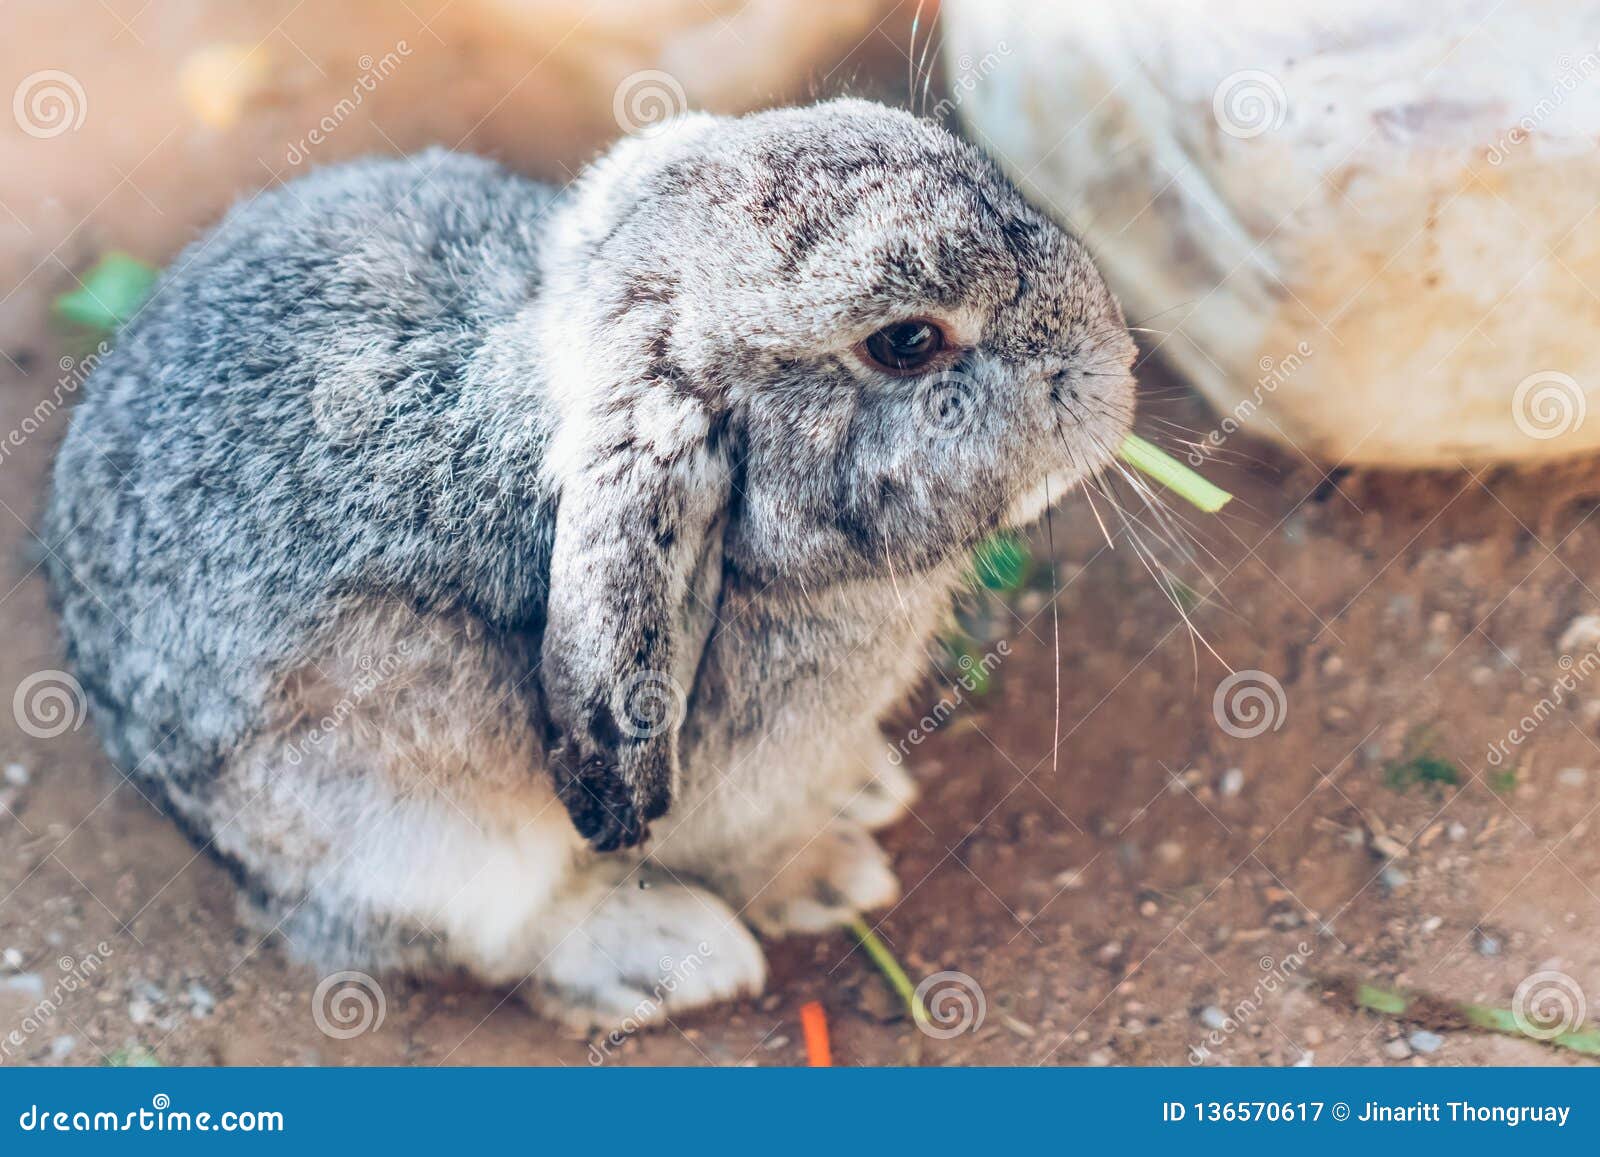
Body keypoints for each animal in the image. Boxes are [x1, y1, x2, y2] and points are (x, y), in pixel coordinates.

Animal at [42, 98, 1136, 1029]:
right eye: (907, 341)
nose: (1117, 369)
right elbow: (751, 848)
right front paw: (830, 876)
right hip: (410, 826)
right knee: (474, 929)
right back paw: (659, 951)